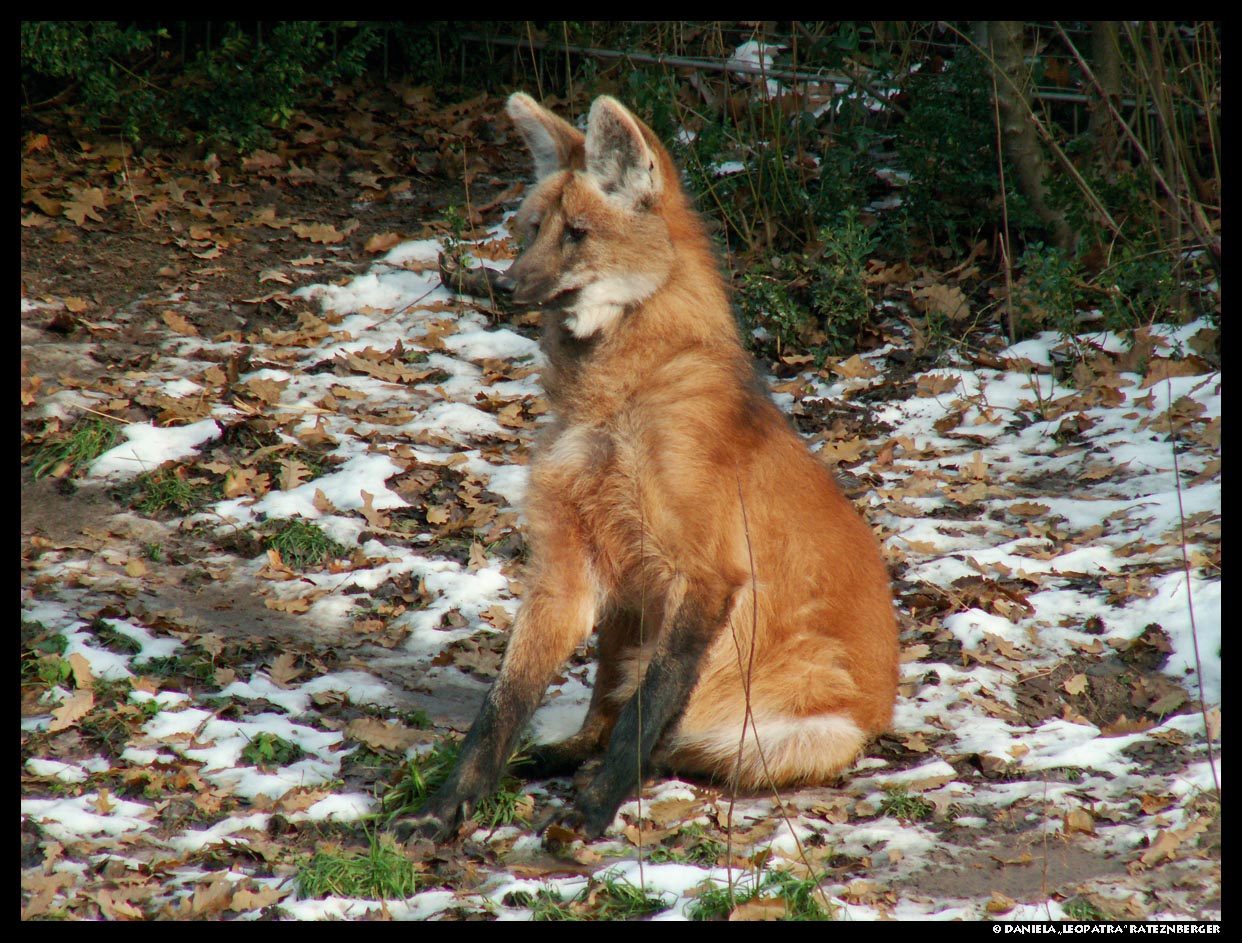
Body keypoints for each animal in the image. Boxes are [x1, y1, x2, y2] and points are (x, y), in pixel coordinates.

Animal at [417, 92, 898, 839]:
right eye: (530, 231)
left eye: (578, 234)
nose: (507, 284)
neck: (615, 397)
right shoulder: (567, 566)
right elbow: (502, 706)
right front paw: (448, 803)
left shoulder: (706, 575)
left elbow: (644, 714)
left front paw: (593, 807)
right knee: (604, 713)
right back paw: (556, 758)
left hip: (805, 731)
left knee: (681, 739)